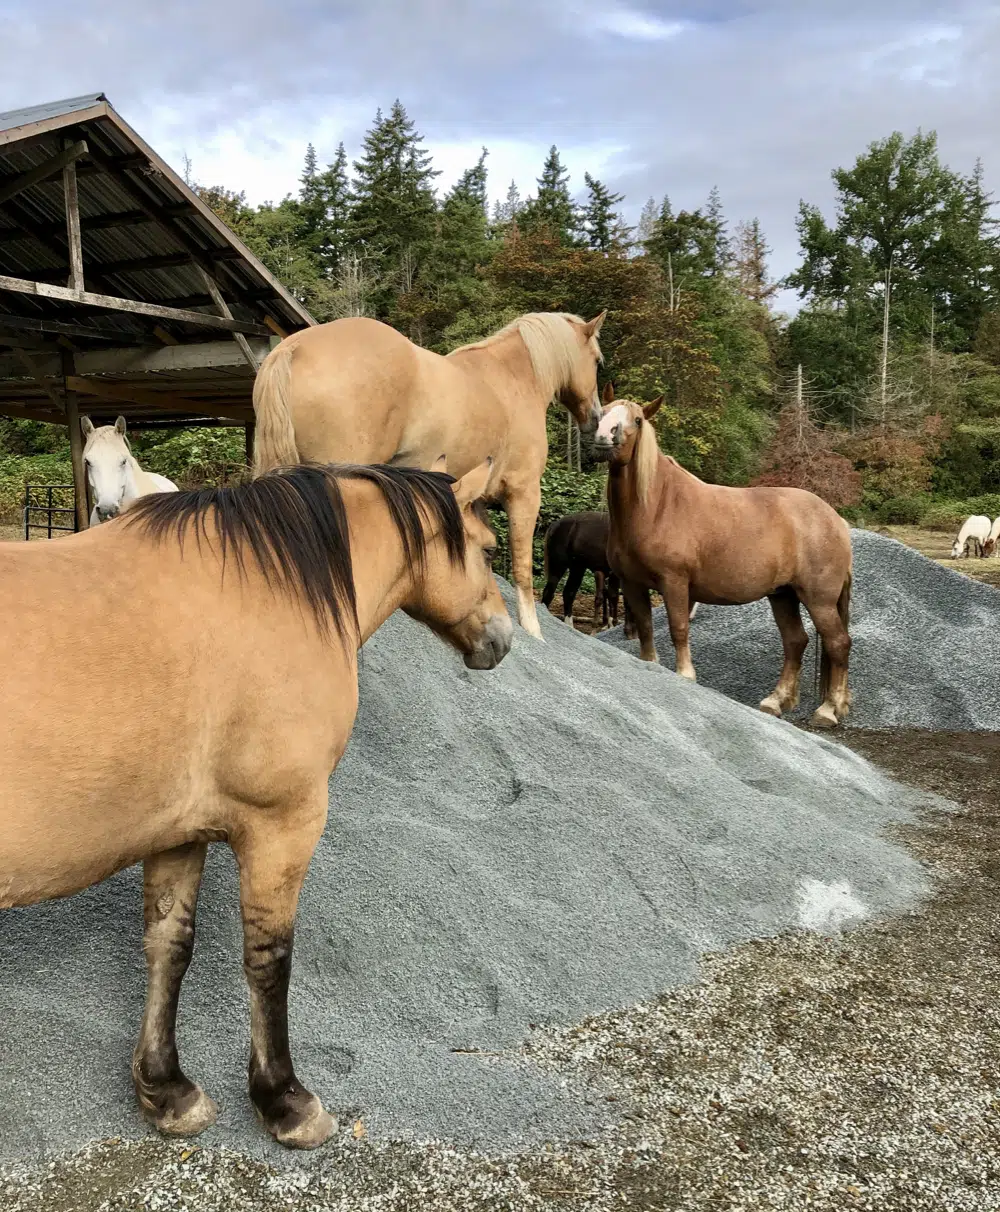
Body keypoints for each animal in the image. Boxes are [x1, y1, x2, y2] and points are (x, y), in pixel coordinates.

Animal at [0, 458, 510, 1150]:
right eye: (487, 549)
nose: (502, 637)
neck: (264, 589)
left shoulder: (177, 833)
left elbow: (169, 945)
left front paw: (165, 1088)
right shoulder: (283, 826)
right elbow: (269, 960)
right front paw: (283, 1099)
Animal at [251, 311, 606, 640]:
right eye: (598, 362)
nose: (596, 418)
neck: (512, 379)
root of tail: (295, 347)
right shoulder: (524, 493)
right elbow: (523, 566)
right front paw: (533, 630)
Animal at [594, 385, 853, 728]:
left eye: (637, 420)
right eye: (603, 411)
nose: (602, 437)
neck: (657, 506)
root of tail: (835, 520)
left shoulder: (674, 582)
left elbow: (678, 627)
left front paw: (685, 675)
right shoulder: (631, 583)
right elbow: (646, 628)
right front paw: (650, 666)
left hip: (819, 599)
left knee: (838, 643)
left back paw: (828, 710)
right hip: (783, 595)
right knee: (795, 642)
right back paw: (776, 701)